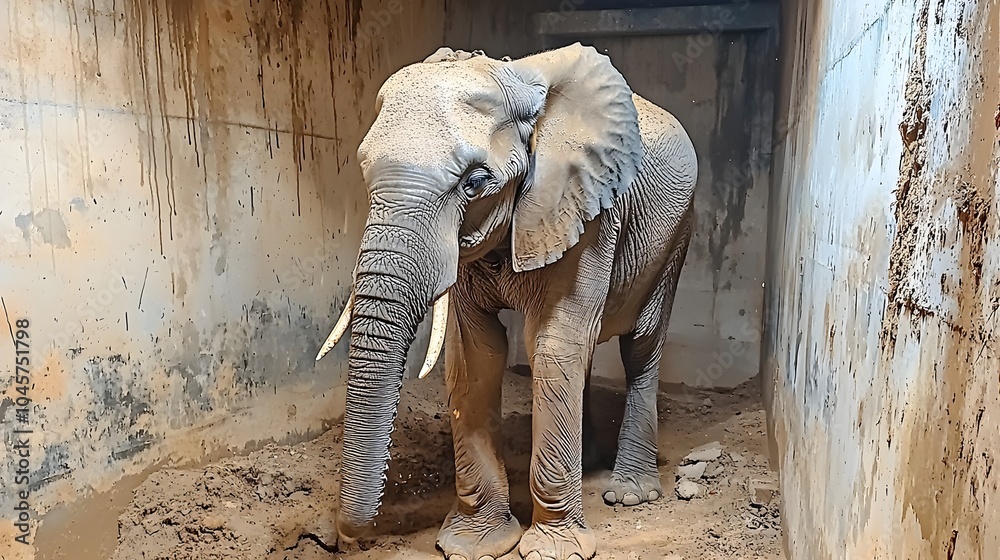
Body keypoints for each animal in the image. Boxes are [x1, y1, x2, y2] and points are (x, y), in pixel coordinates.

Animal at [315, 43, 698, 560]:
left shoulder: (586, 209)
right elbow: (476, 356)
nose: (343, 536)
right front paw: (472, 545)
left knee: (640, 344)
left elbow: (553, 345)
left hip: (677, 234)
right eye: (363, 170)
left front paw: (552, 550)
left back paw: (629, 493)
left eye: (475, 182)